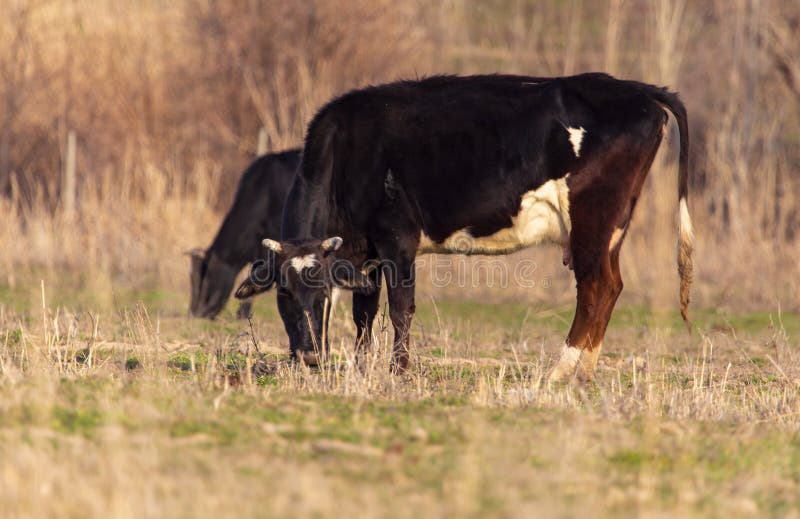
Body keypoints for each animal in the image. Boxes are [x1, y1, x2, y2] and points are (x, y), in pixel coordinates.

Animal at [234, 73, 694, 383]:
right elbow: (365, 312)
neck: (346, 152)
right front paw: (363, 368)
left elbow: (401, 309)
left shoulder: (397, 238)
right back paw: (584, 371)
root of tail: (632, 87)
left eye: (321, 293)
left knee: (597, 287)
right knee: (611, 287)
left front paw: (398, 372)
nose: (310, 356)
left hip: (592, 220)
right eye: (283, 293)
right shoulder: (364, 252)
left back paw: (561, 371)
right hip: (611, 227)